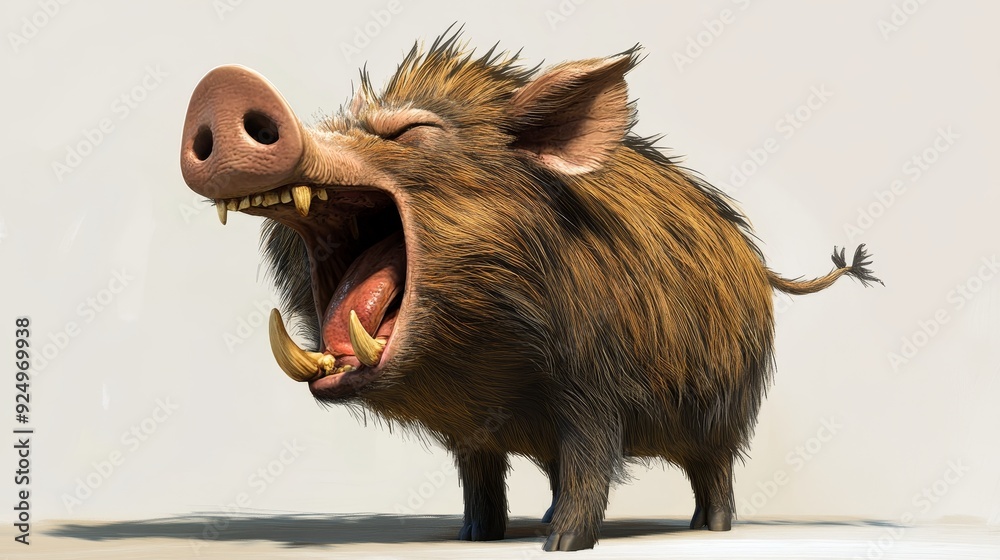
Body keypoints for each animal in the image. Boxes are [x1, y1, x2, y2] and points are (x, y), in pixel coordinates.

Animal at [179, 31, 881, 551]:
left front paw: (563, 545)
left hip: (726, 409)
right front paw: (474, 538)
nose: (222, 83)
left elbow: (590, 464)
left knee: (715, 469)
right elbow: (482, 478)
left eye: (411, 133)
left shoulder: (597, 391)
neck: (491, 367)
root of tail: (757, 262)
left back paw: (708, 529)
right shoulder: (473, 431)